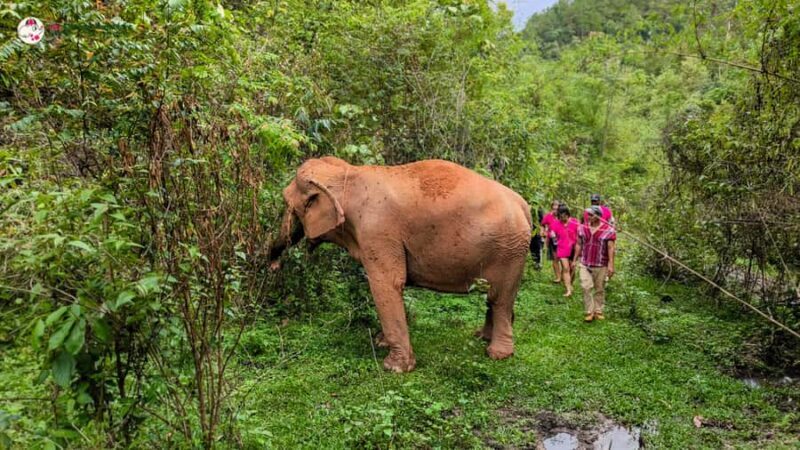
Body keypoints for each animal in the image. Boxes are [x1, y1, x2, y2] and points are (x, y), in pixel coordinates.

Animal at [268, 156, 532, 372]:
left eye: (287, 203)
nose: (273, 266)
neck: (347, 173)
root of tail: (524, 205)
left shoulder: (378, 231)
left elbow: (387, 283)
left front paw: (394, 368)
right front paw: (380, 342)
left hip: (509, 250)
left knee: (500, 298)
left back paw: (497, 354)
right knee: (494, 296)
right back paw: (482, 337)